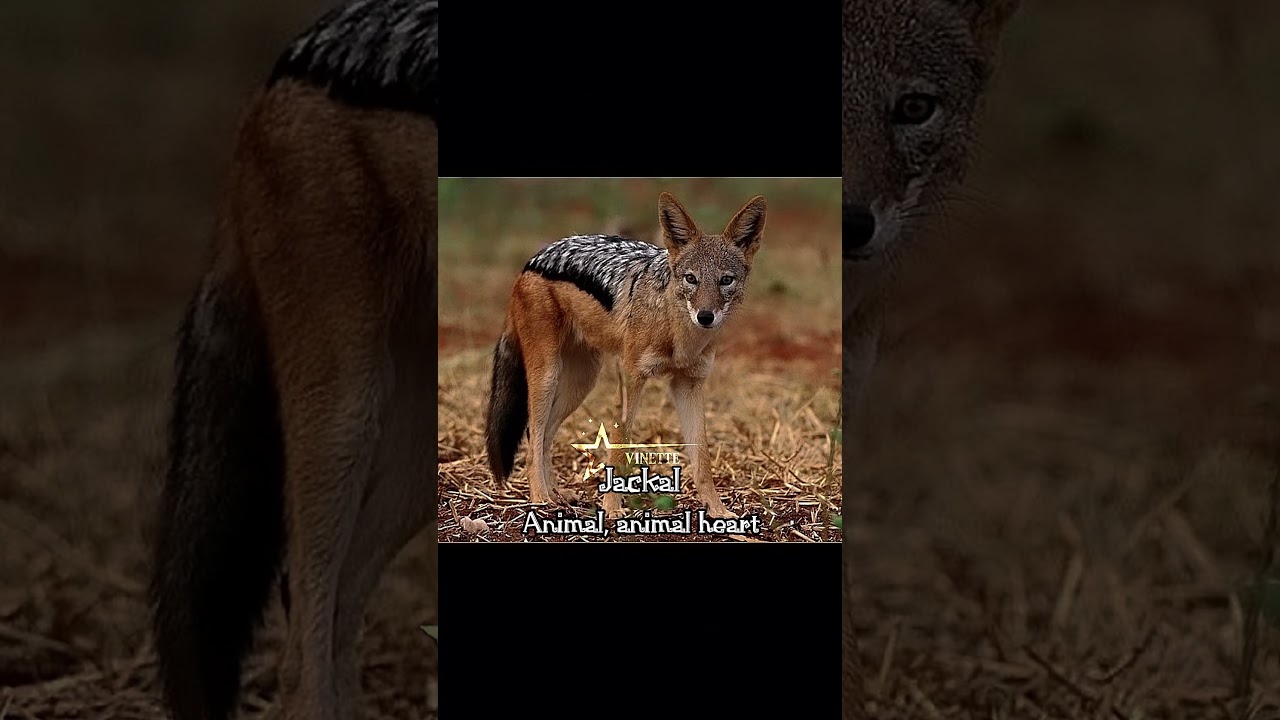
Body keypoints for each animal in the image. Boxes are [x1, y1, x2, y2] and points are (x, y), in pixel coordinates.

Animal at [485, 192, 767, 520]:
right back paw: (541, 499)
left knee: (541, 437)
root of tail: (533, 260)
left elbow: (702, 458)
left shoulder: (688, 384)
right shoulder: (633, 376)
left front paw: (718, 510)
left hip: (580, 383)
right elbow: (620, 446)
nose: (705, 316)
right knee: (534, 434)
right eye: (691, 279)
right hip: (547, 377)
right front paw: (612, 509)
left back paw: (557, 495)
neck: (678, 334)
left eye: (726, 280)